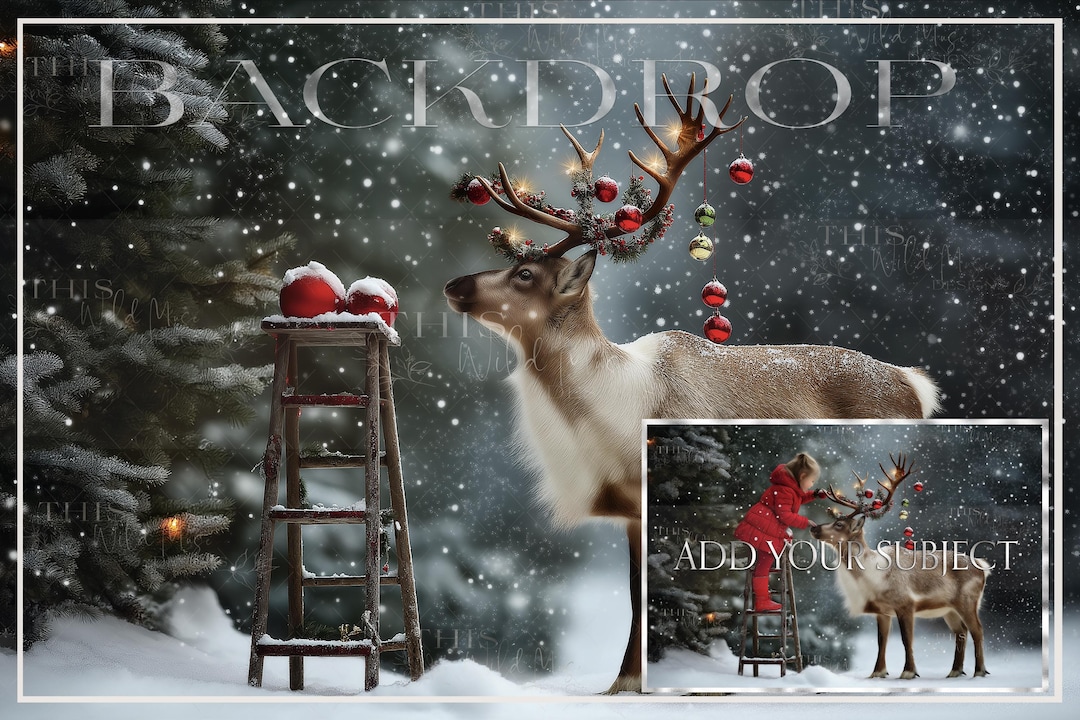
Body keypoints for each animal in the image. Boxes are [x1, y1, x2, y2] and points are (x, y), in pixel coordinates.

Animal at [443, 75, 941, 694]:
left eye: (525, 274)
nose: (454, 286)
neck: (607, 411)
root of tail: (914, 385)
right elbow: (638, 593)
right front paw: (622, 683)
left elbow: (643, 599)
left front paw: (628, 685)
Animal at [810, 454, 990, 680]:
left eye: (839, 525)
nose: (813, 528)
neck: (874, 576)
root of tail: (983, 567)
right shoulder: (882, 610)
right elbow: (882, 641)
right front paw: (877, 672)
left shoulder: (906, 603)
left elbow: (906, 639)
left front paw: (908, 672)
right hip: (949, 608)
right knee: (961, 632)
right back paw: (955, 672)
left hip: (968, 600)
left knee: (978, 630)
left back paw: (980, 671)